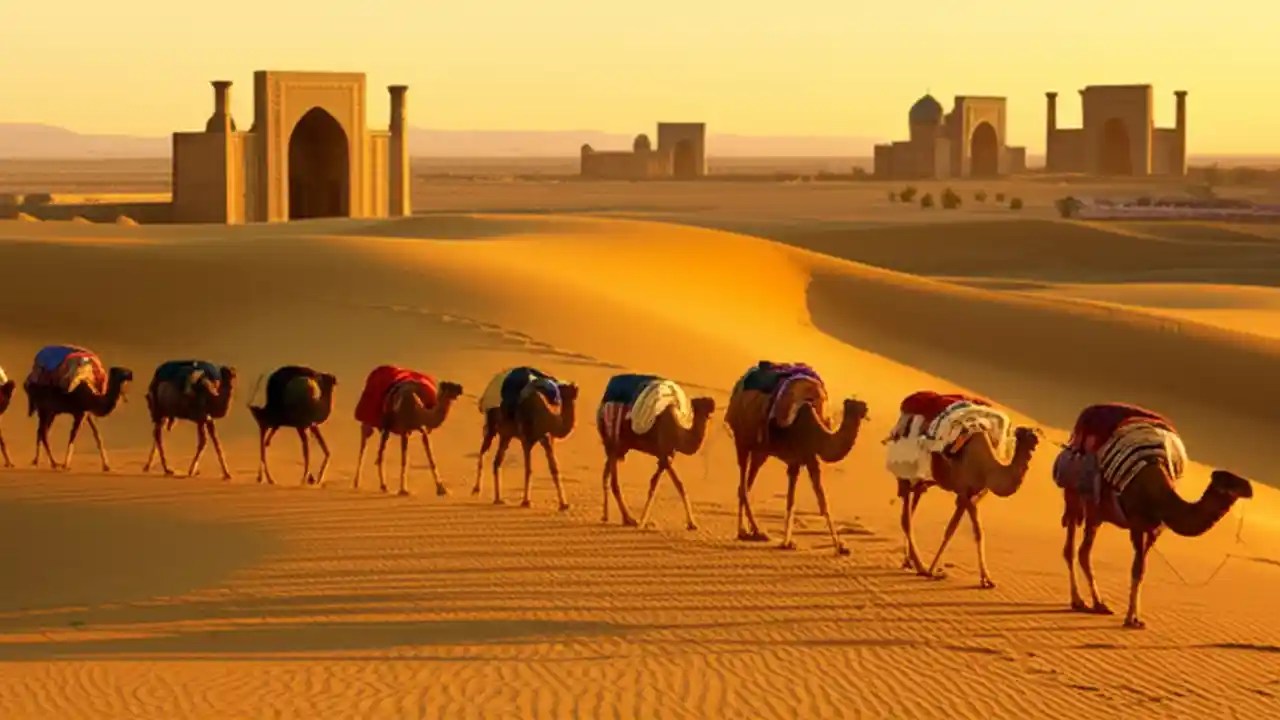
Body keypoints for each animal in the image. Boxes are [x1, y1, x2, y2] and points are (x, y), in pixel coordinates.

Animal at [352, 364, 463, 496]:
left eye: (454, 384)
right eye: (448, 385)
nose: (460, 388)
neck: (418, 409)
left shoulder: (422, 429)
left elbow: (431, 457)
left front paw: (441, 489)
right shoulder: (404, 429)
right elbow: (404, 460)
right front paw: (403, 490)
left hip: (386, 427)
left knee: (381, 451)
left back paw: (383, 486)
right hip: (368, 420)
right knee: (364, 444)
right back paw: (356, 483)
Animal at [473, 367, 577, 510]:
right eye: (564, 390)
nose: (575, 386)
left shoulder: (547, 438)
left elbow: (554, 469)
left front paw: (564, 504)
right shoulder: (526, 439)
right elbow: (529, 469)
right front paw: (526, 502)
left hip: (506, 434)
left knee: (497, 461)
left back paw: (498, 499)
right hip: (491, 425)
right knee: (483, 450)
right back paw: (477, 489)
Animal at [596, 373, 716, 530]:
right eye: (701, 403)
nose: (713, 402)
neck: (679, 432)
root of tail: (601, 406)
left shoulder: (666, 455)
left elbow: (654, 484)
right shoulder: (665, 453)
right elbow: (678, 484)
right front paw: (691, 523)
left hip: (618, 446)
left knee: (606, 475)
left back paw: (607, 515)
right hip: (613, 441)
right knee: (613, 480)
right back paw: (629, 519)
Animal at [727, 362, 869, 556]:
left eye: (863, 407)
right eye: (857, 407)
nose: (865, 410)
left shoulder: (802, 459)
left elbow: (800, 500)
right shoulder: (805, 455)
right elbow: (814, 500)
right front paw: (837, 546)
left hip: (761, 450)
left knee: (746, 485)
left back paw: (751, 532)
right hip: (742, 439)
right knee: (742, 484)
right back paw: (750, 531)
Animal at [1053, 403, 1254, 629]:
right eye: (1231, 481)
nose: (1250, 489)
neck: (1160, 494)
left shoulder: (1154, 530)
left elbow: (1142, 571)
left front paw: (1136, 618)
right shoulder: (1137, 525)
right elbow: (1136, 569)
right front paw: (1130, 619)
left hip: (1095, 512)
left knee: (1081, 551)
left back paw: (1093, 603)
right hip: (1077, 497)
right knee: (1074, 550)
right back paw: (1084, 601)